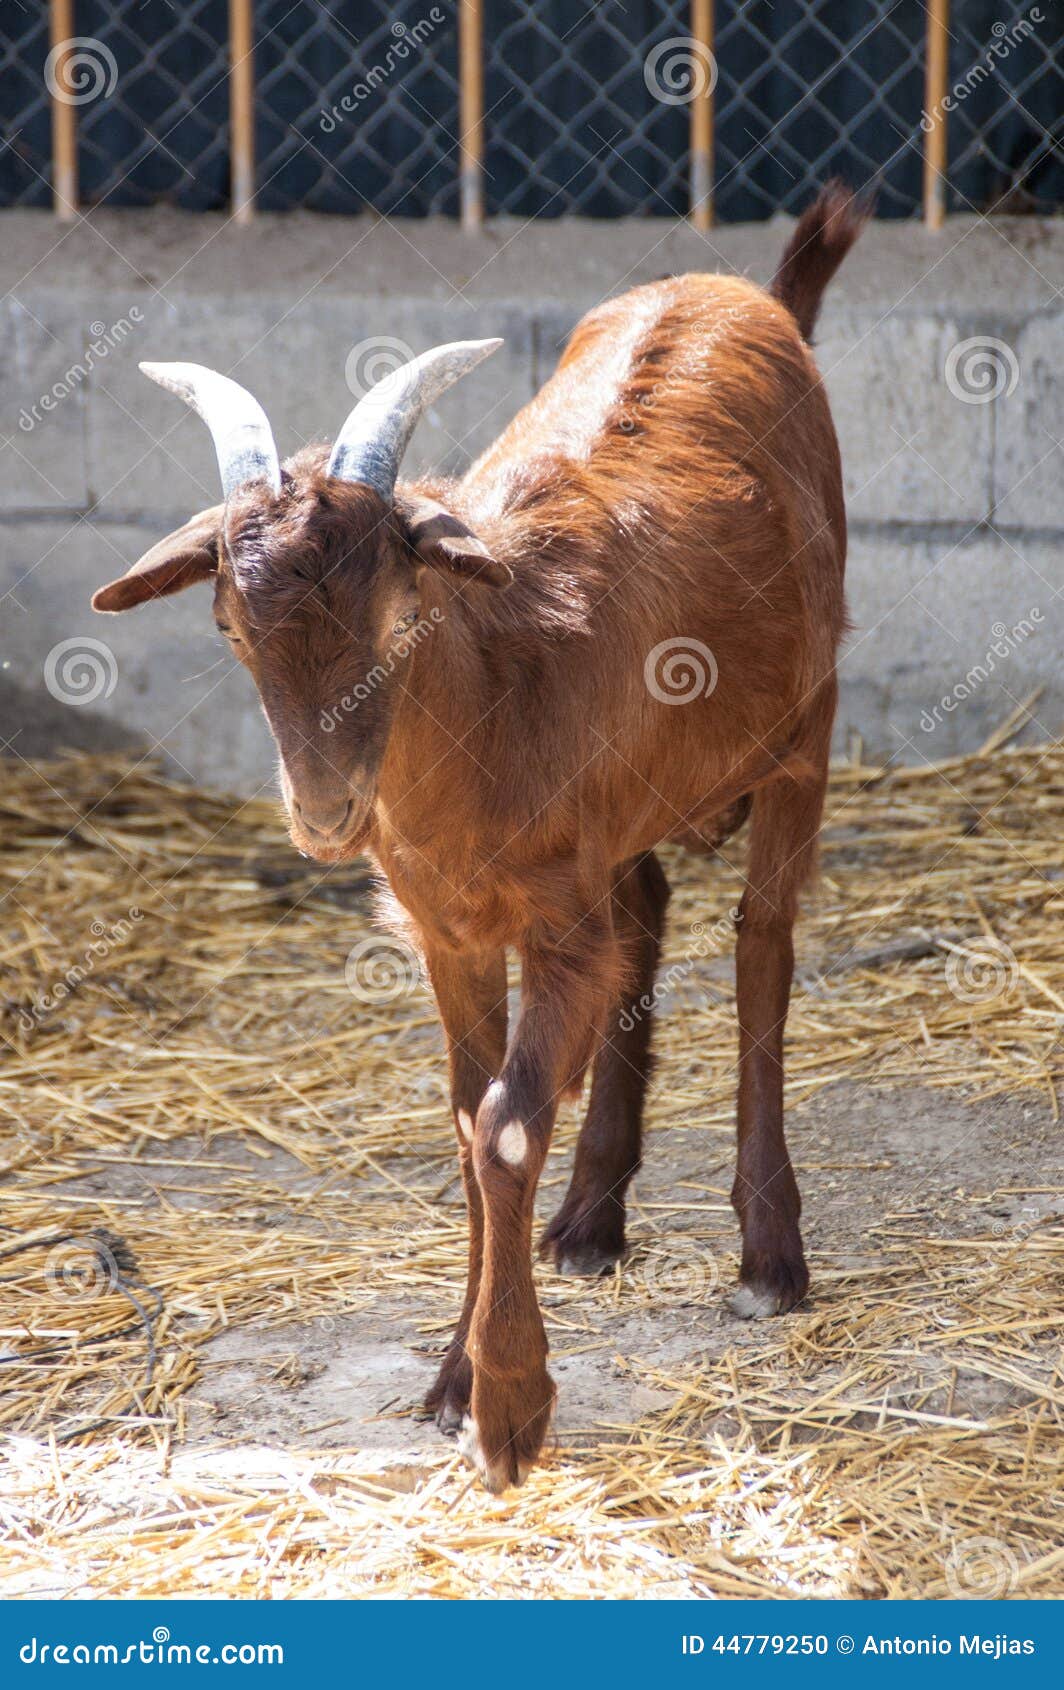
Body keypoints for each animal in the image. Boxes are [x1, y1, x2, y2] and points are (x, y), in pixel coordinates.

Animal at [93, 183, 869, 1491]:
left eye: (401, 615)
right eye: (230, 625)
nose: (326, 814)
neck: (509, 682)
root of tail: (745, 293)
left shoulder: (551, 922)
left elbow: (505, 1126)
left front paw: (508, 1409)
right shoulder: (445, 930)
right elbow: (468, 1127)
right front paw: (455, 1379)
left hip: (802, 728)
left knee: (761, 939)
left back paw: (769, 1253)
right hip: (631, 813)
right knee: (647, 917)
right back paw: (591, 1217)